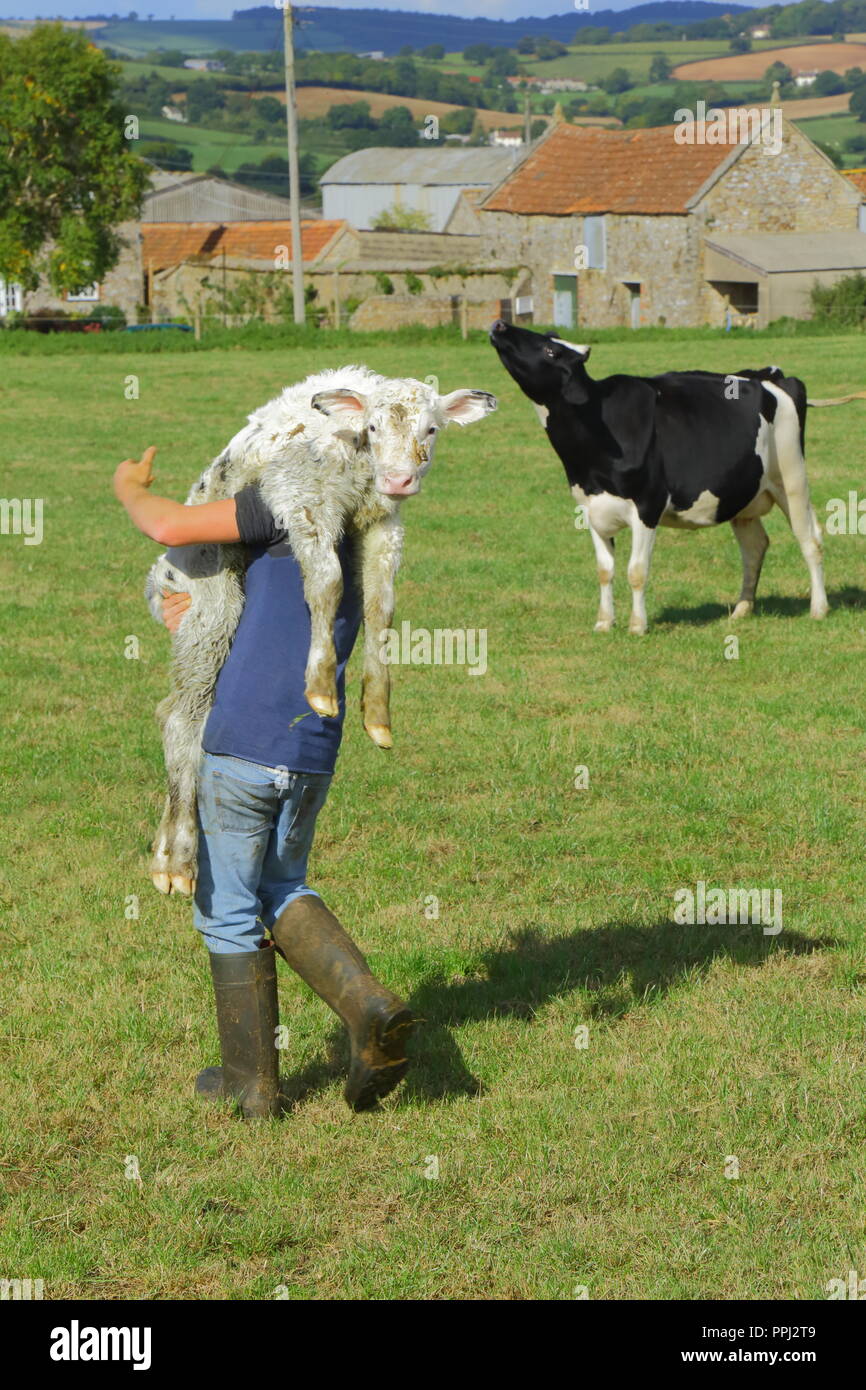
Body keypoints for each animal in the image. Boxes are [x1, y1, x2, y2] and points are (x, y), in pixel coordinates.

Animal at [489, 320, 828, 635]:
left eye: (550, 351)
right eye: (549, 338)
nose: (500, 324)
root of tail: (767, 375)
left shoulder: (647, 506)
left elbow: (637, 571)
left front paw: (637, 625)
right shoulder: (590, 508)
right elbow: (604, 570)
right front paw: (604, 622)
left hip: (791, 479)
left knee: (809, 540)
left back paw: (819, 608)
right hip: (743, 497)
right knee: (755, 547)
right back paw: (742, 609)